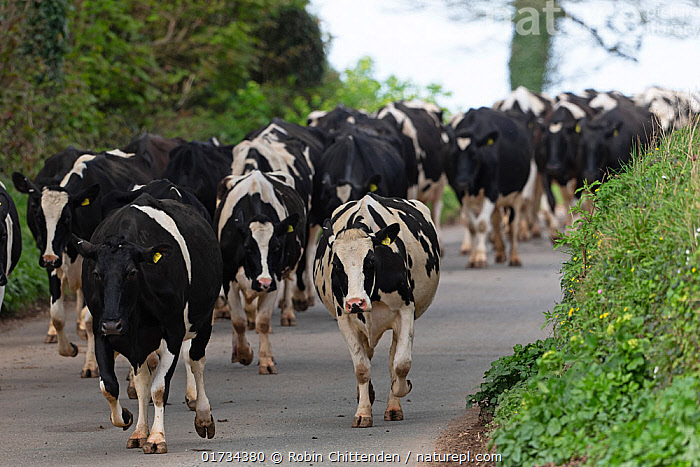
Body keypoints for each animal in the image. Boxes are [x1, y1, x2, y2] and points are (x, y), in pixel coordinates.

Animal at [12, 151, 152, 377]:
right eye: (38, 216)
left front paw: (90, 365)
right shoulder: (57, 263)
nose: (48, 258)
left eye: (67, 217)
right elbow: (57, 314)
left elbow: (89, 319)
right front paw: (69, 349)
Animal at [74, 194, 221, 454]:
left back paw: (203, 416)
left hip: (203, 319)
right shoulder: (103, 332)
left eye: (132, 273)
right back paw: (139, 432)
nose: (113, 324)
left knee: (196, 361)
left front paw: (156, 438)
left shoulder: (173, 332)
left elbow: (159, 388)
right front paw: (126, 418)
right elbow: (110, 386)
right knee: (142, 382)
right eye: (97, 274)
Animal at [215, 171, 306, 374]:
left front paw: (266, 360)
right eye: (248, 247)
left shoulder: (275, 279)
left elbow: (263, 321)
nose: (263, 282)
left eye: (277, 247)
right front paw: (244, 354)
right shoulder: (227, 277)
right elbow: (238, 321)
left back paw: (287, 316)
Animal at [313, 193, 440, 427]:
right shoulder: (344, 318)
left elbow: (401, 364)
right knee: (368, 356)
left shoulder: (406, 312)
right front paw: (363, 413)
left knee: (393, 359)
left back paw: (393, 407)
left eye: (371, 260)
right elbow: (362, 368)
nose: (356, 302)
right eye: (336, 265)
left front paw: (401, 388)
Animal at [447, 107, 532, 267]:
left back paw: (514, 257)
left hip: (517, 194)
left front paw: (480, 257)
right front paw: (473, 258)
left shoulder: (491, 191)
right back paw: (500, 253)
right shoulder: (460, 195)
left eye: (474, 154)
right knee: (497, 222)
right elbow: (471, 225)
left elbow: (481, 224)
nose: (462, 182)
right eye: (453, 155)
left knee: (513, 226)